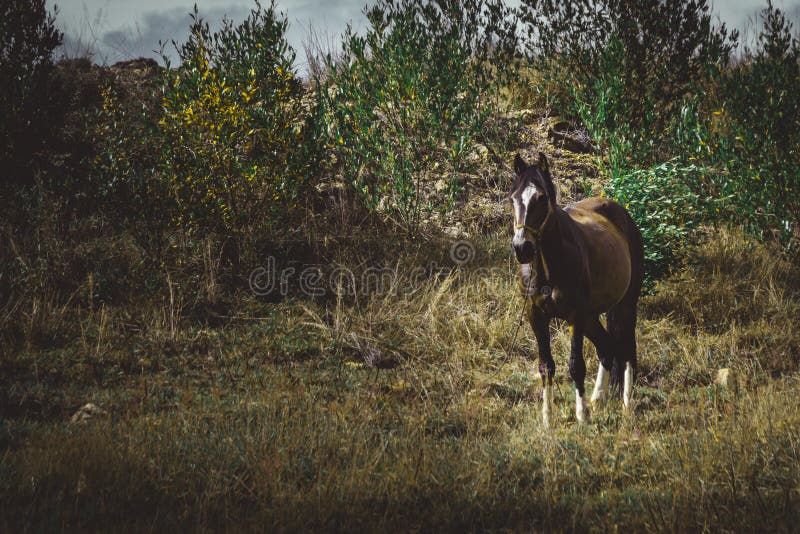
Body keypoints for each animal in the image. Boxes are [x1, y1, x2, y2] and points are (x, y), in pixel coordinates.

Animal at [509, 152, 644, 427]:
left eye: (541, 198)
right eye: (513, 198)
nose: (522, 248)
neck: (550, 266)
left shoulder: (575, 316)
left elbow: (575, 365)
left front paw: (582, 415)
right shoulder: (536, 316)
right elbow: (546, 366)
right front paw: (547, 418)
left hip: (625, 304)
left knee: (626, 349)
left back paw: (626, 404)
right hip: (592, 317)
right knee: (607, 347)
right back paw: (598, 397)